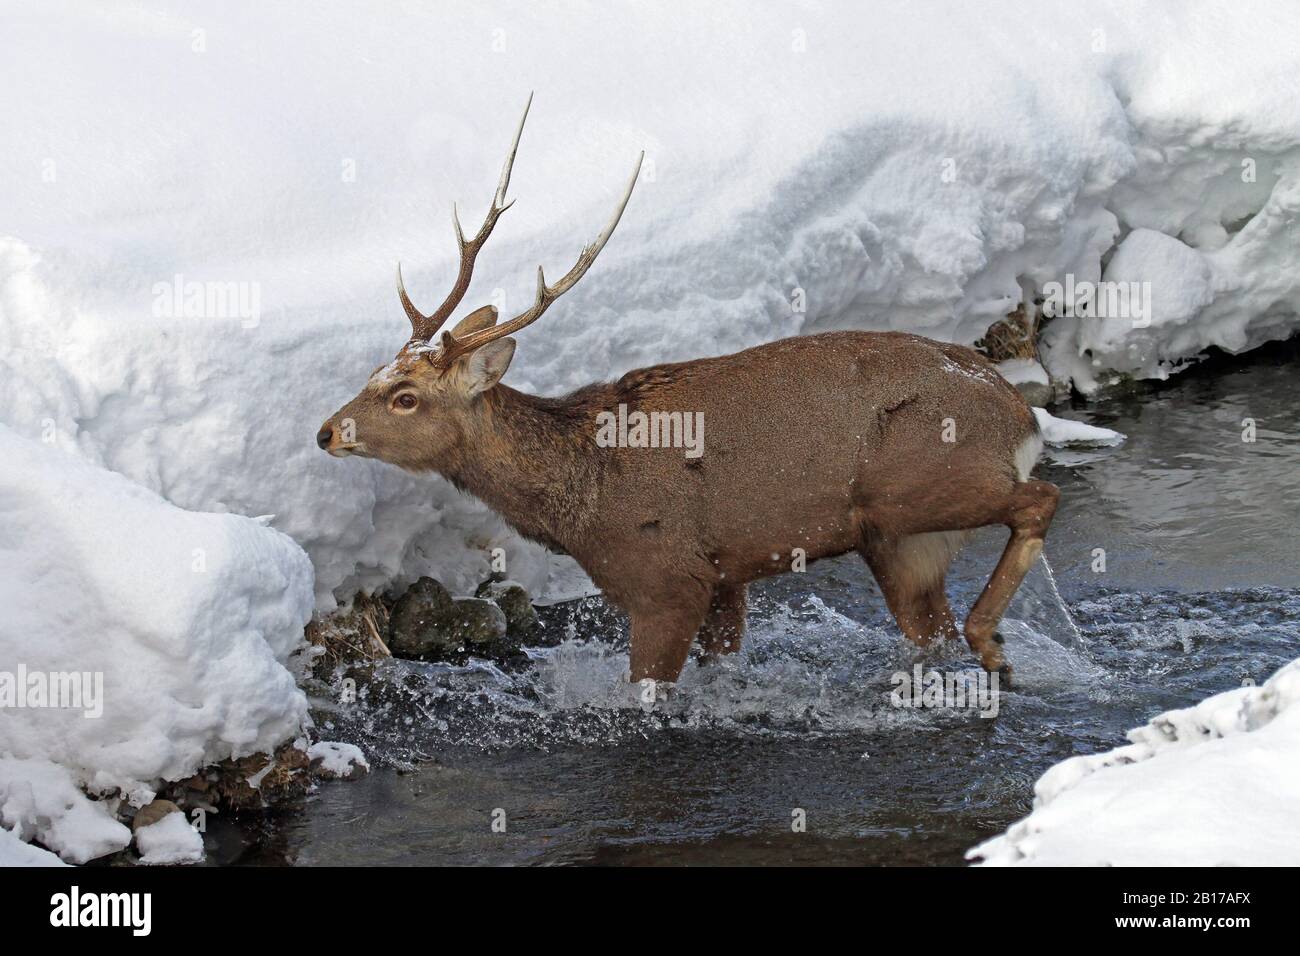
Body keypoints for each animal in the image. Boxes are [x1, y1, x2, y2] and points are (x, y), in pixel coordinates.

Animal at [317, 96, 1059, 694]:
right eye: (374, 374)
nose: (326, 431)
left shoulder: (667, 577)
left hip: (923, 479)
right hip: (903, 545)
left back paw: (993, 645)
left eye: (405, 396)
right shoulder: (726, 575)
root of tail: (1020, 417)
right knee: (930, 627)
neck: (581, 493)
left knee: (1039, 498)